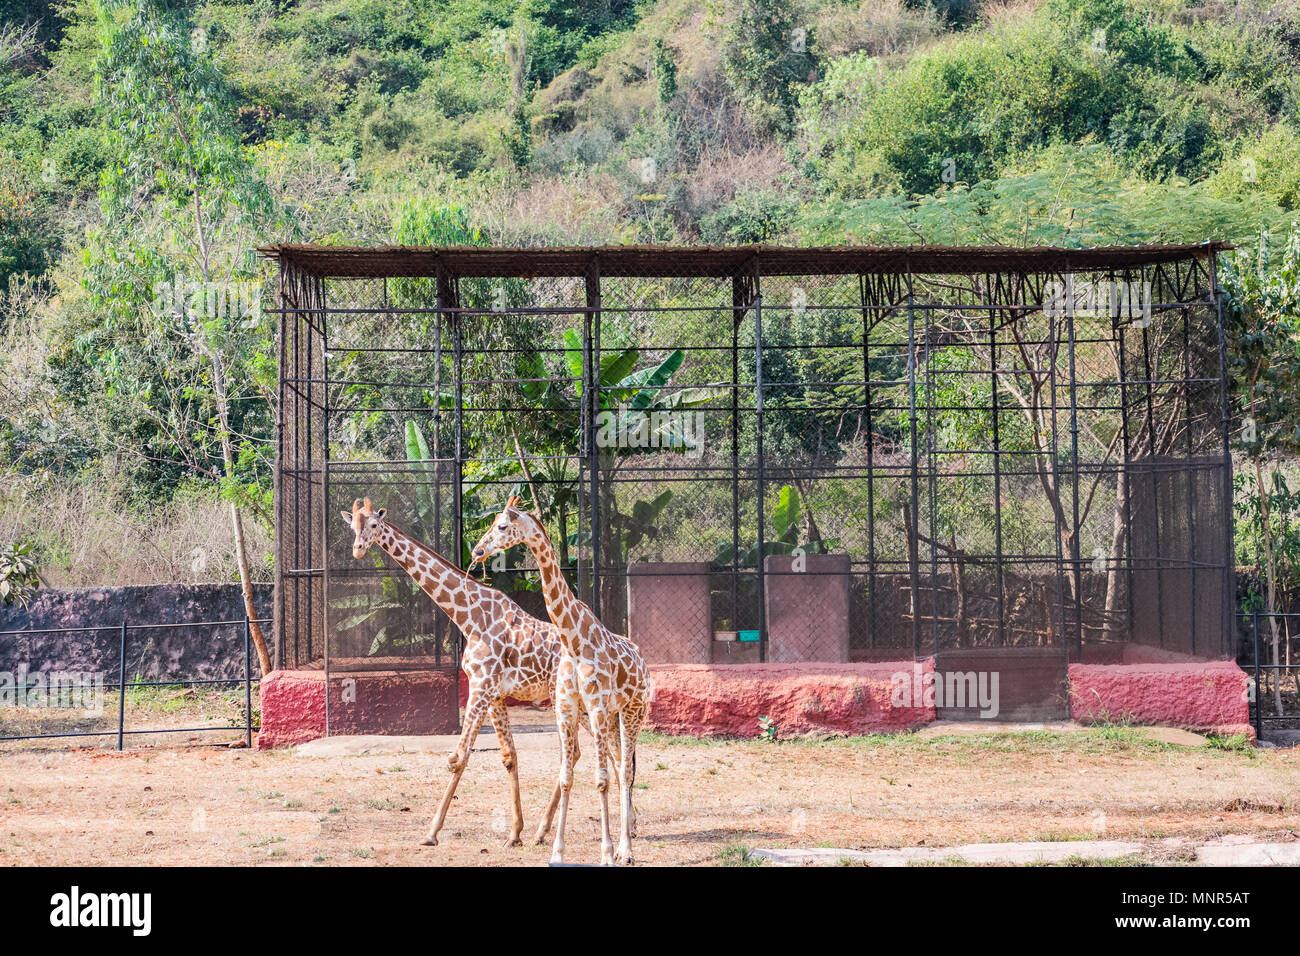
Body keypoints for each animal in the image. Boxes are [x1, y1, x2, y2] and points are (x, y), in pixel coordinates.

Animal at [341, 497, 579, 848]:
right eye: (352, 527)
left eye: (372, 524)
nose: (358, 549)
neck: (469, 617)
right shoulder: (494, 695)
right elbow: (509, 756)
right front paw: (514, 833)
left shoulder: (480, 687)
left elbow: (459, 757)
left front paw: (431, 833)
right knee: (577, 752)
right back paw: (545, 830)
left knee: (576, 752)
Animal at [471, 495, 649, 866]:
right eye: (492, 523)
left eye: (503, 526)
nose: (478, 550)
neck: (573, 638)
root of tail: (642, 659)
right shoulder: (566, 707)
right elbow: (567, 778)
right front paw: (557, 851)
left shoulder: (595, 707)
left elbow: (600, 780)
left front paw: (607, 853)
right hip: (614, 717)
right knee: (623, 768)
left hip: (633, 711)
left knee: (625, 771)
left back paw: (626, 850)